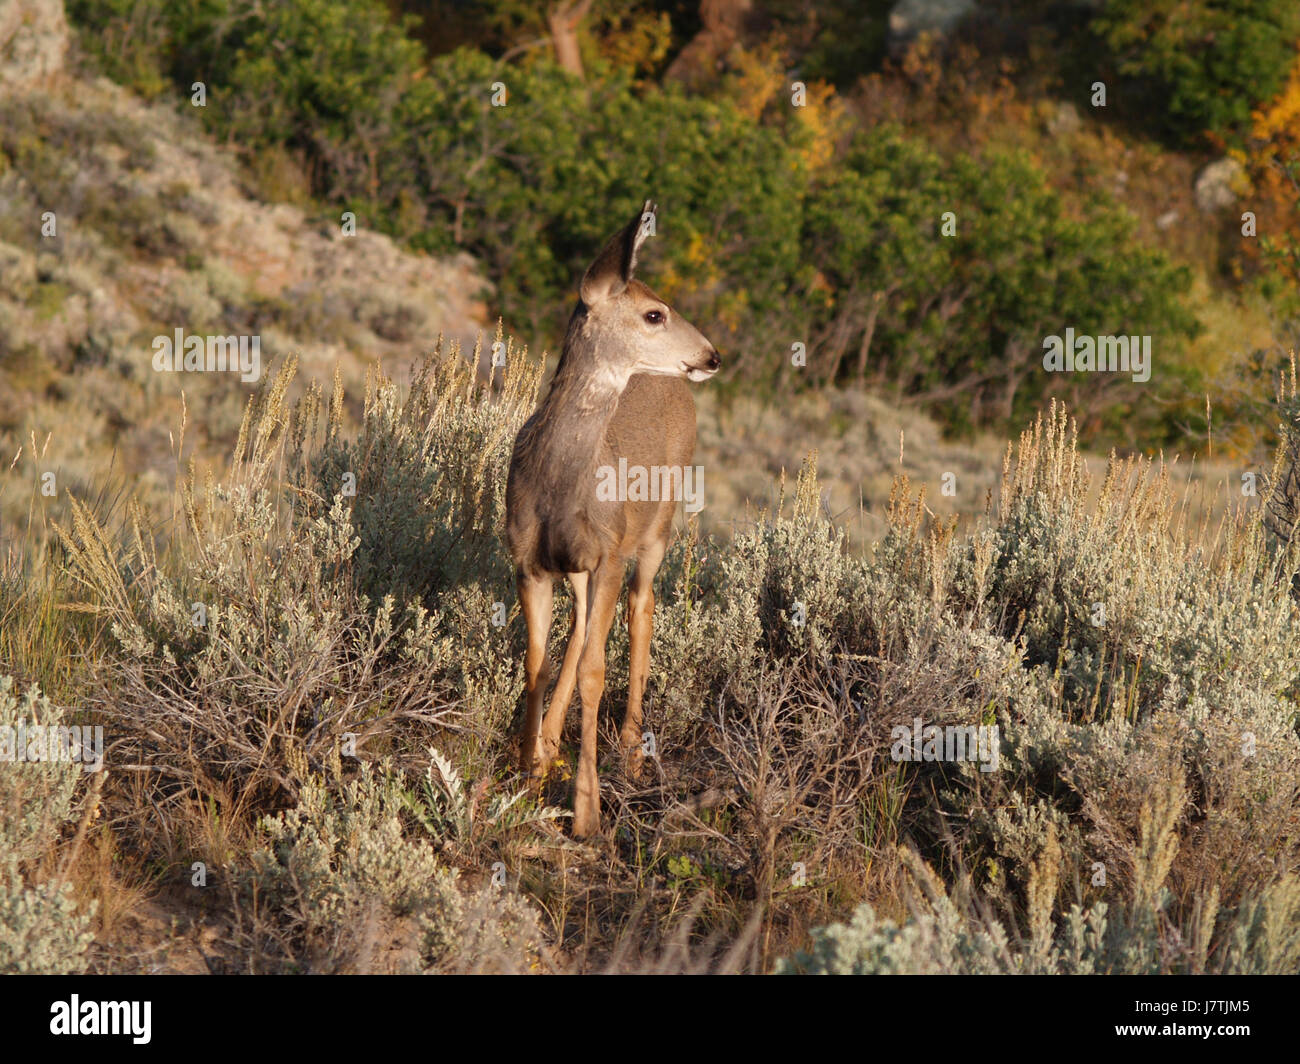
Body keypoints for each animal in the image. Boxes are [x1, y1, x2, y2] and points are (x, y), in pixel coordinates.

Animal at [505, 200, 720, 837]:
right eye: (655, 313)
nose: (711, 356)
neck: (558, 487)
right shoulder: (527, 559)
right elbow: (537, 661)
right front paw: (527, 773)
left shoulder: (609, 552)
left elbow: (596, 670)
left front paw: (586, 812)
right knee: (581, 631)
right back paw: (551, 747)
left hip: (655, 530)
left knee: (641, 609)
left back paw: (630, 751)